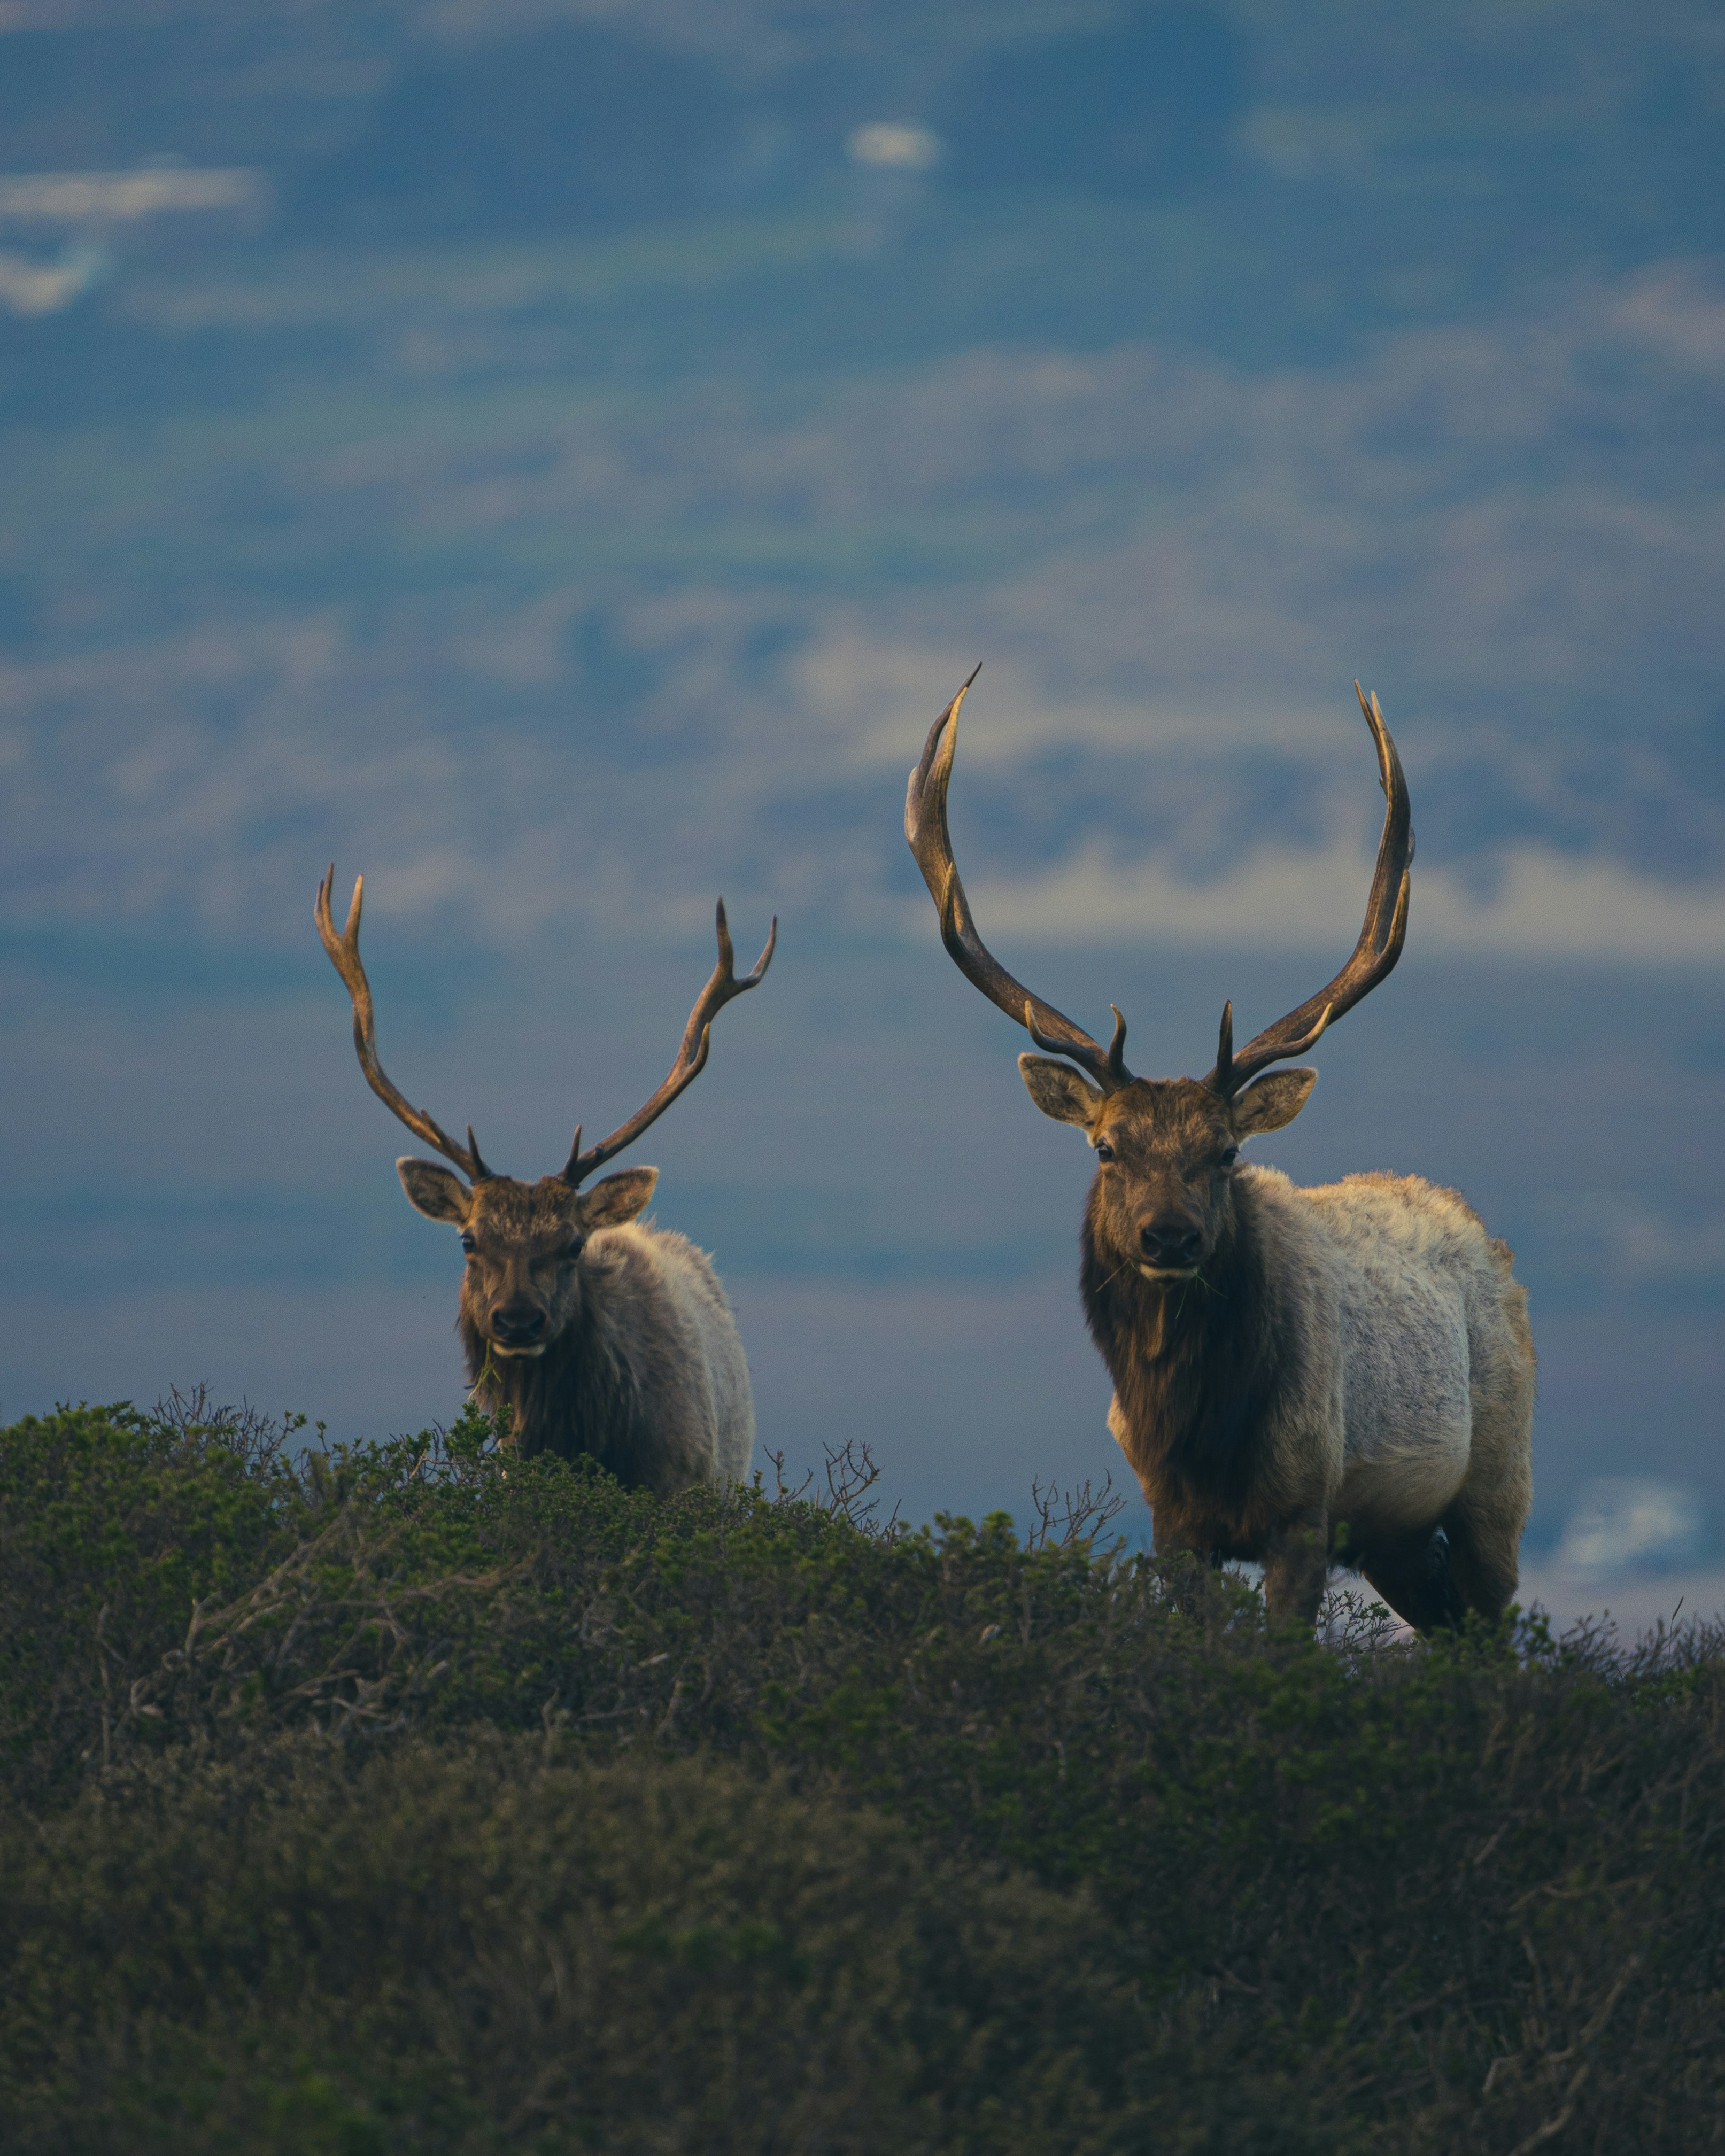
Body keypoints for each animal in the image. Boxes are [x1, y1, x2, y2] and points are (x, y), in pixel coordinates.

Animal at [906, 671, 1533, 1631]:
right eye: (1106, 1146)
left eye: (1227, 1150)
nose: (1168, 1236)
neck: (1199, 1437)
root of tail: (1476, 1230)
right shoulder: (1171, 1524)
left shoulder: (1305, 1507)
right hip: (1395, 1540)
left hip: (1496, 1482)